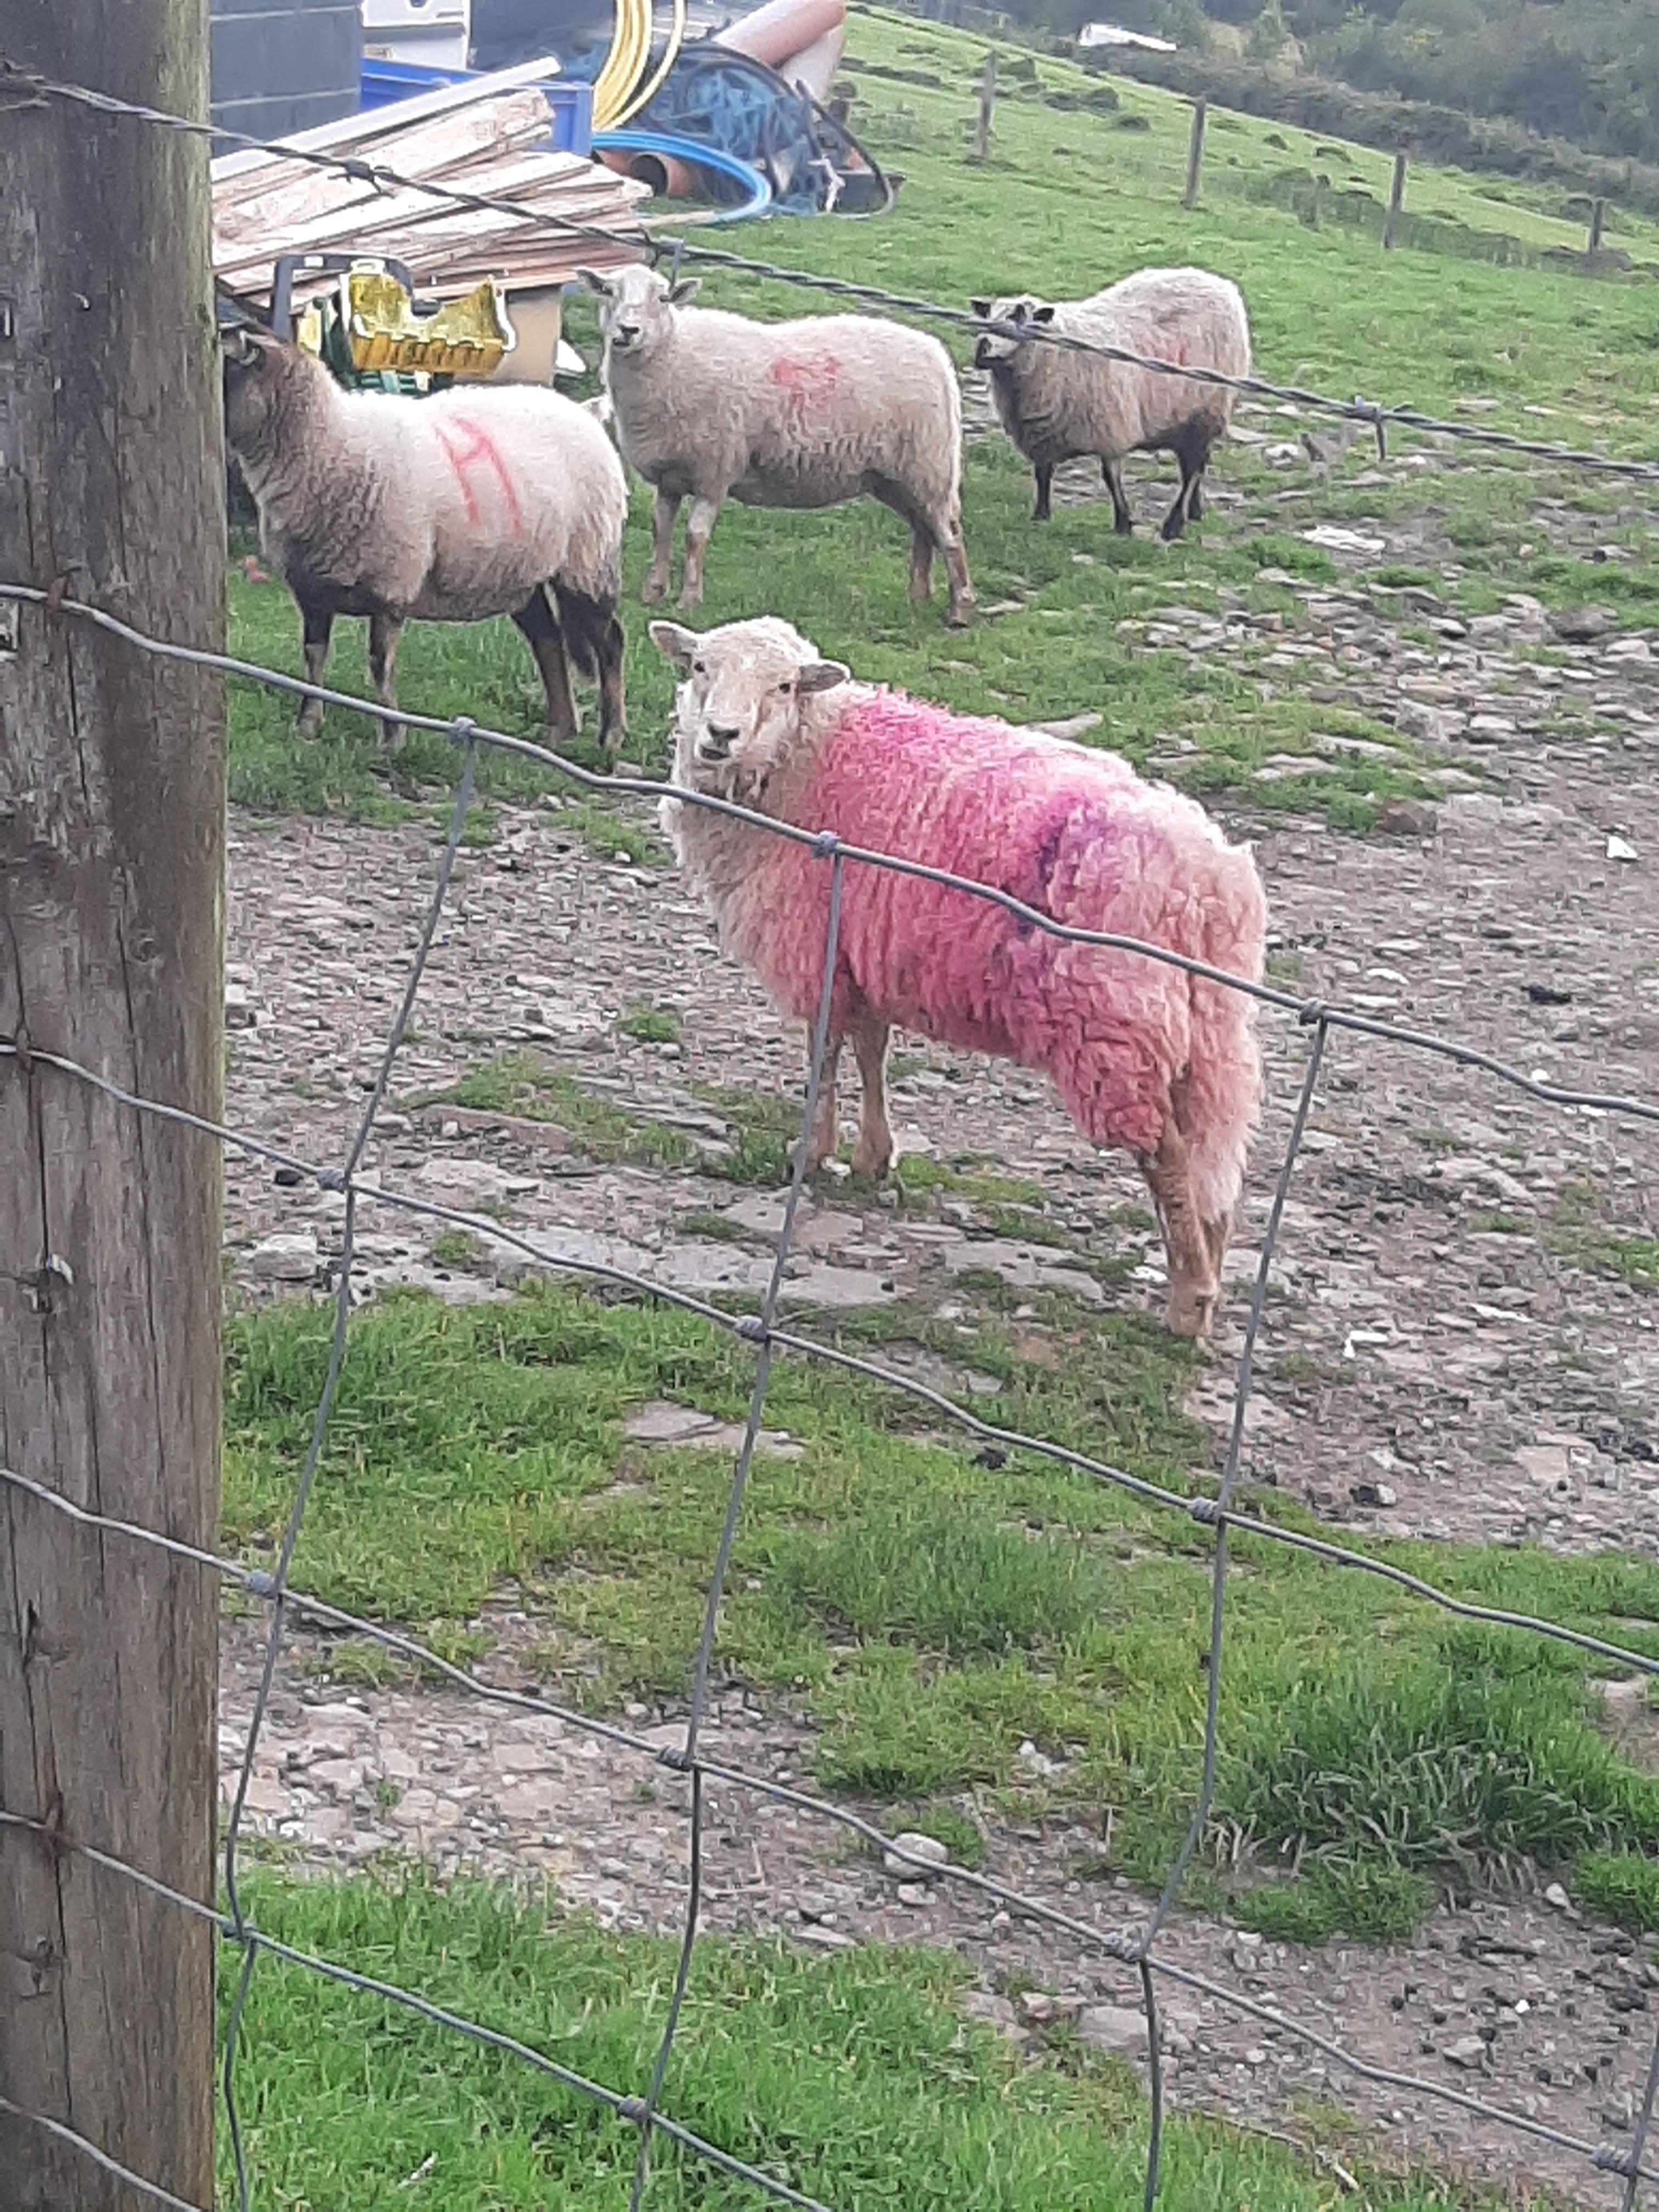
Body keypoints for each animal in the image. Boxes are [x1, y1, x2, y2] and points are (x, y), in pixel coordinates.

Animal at [220, 326, 629, 752]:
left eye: (225, 369)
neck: (328, 444)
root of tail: (585, 413)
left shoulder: (391, 585)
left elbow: (379, 663)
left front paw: (391, 737)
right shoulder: (311, 589)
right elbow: (313, 657)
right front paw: (308, 725)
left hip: (587, 561)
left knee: (610, 641)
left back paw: (611, 735)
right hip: (522, 573)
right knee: (548, 639)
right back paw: (558, 731)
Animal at [576, 264, 974, 626]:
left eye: (662, 298)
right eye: (609, 291)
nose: (628, 331)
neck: (671, 354)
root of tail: (938, 354)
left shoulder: (714, 471)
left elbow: (694, 538)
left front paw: (688, 601)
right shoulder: (670, 477)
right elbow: (661, 530)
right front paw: (653, 592)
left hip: (929, 465)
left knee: (949, 533)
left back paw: (959, 610)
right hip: (894, 477)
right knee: (923, 529)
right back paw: (918, 598)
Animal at [652, 614, 1266, 1339]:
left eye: (783, 686)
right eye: (700, 667)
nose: (719, 735)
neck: (813, 754)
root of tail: (1213, 887)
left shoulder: (817, 938)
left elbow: (824, 1050)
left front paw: (812, 1150)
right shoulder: (867, 946)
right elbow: (871, 1048)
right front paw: (873, 1155)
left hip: (1117, 1019)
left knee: (1167, 1155)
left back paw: (1188, 1301)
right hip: (1210, 1027)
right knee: (1213, 1153)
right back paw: (1209, 1277)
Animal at [970, 266, 1251, 541]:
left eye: (1018, 317)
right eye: (987, 317)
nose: (982, 348)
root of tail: (1220, 283)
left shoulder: (1110, 425)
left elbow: (1111, 477)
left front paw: (1123, 524)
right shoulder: (1041, 431)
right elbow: (1043, 473)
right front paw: (1041, 516)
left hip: (1206, 410)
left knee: (1193, 468)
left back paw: (1174, 525)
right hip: (1182, 415)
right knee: (1191, 466)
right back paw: (1194, 512)